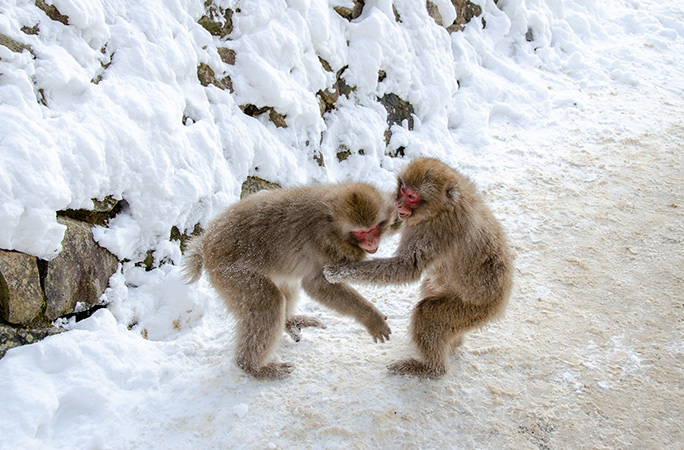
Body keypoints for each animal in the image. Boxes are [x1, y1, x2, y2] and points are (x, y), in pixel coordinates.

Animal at [182, 182, 395, 380]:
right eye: (360, 232)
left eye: (374, 228)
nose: (372, 242)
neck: (332, 226)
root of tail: (206, 241)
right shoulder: (324, 246)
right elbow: (318, 286)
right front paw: (372, 318)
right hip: (230, 274)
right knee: (269, 301)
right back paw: (253, 367)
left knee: (286, 287)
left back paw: (289, 322)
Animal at [324, 157, 514, 378]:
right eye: (403, 189)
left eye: (411, 197)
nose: (398, 203)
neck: (441, 207)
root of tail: (504, 296)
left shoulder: (435, 230)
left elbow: (407, 267)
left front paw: (339, 272)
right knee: (430, 288)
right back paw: (453, 343)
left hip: (477, 309)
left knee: (428, 313)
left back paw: (431, 367)